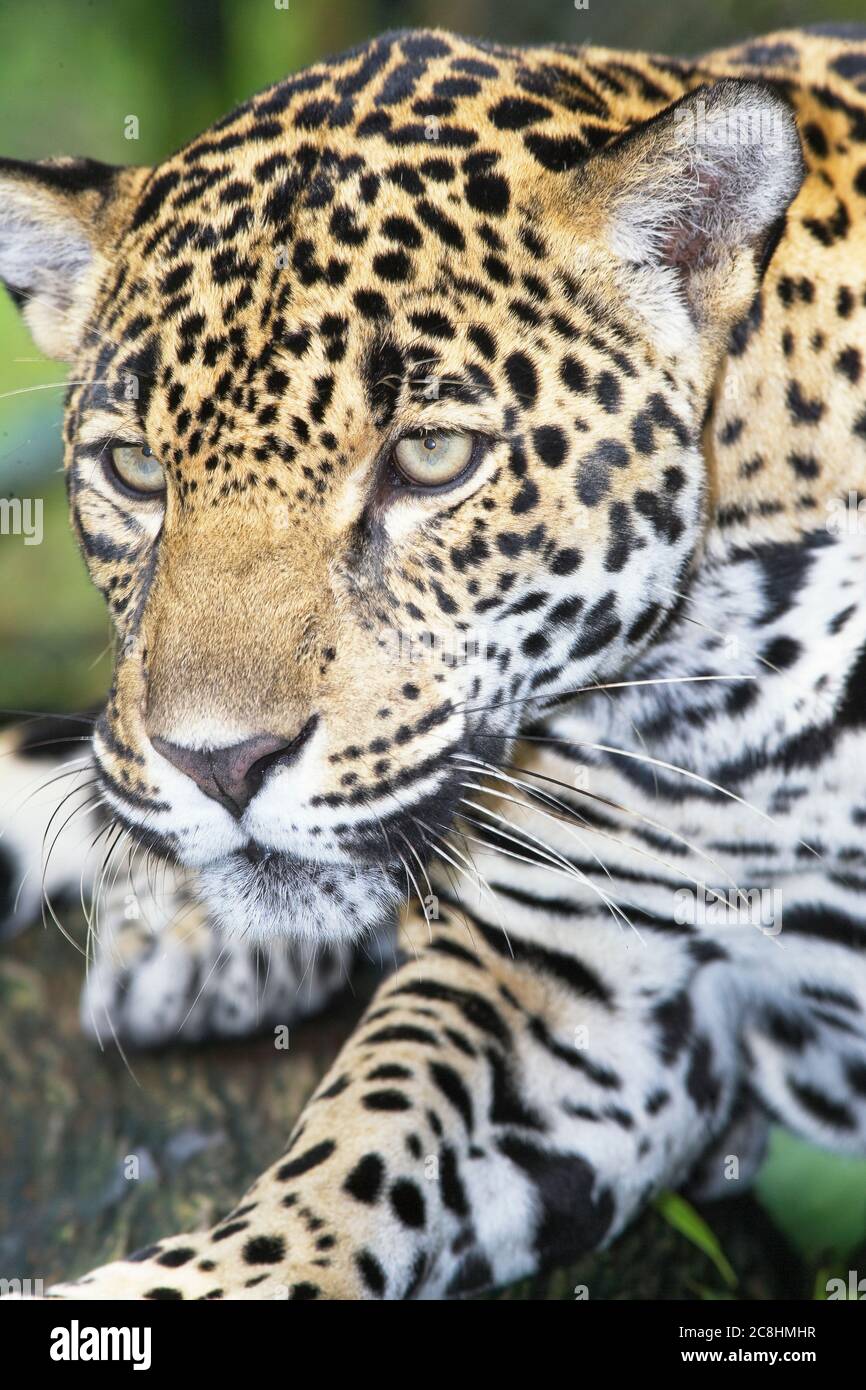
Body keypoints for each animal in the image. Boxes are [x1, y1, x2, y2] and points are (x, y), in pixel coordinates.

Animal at [2, 21, 866, 1300]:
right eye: (136, 472)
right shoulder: (560, 977)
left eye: (431, 458)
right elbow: (346, 1157)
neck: (730, 703)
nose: (220, 765)